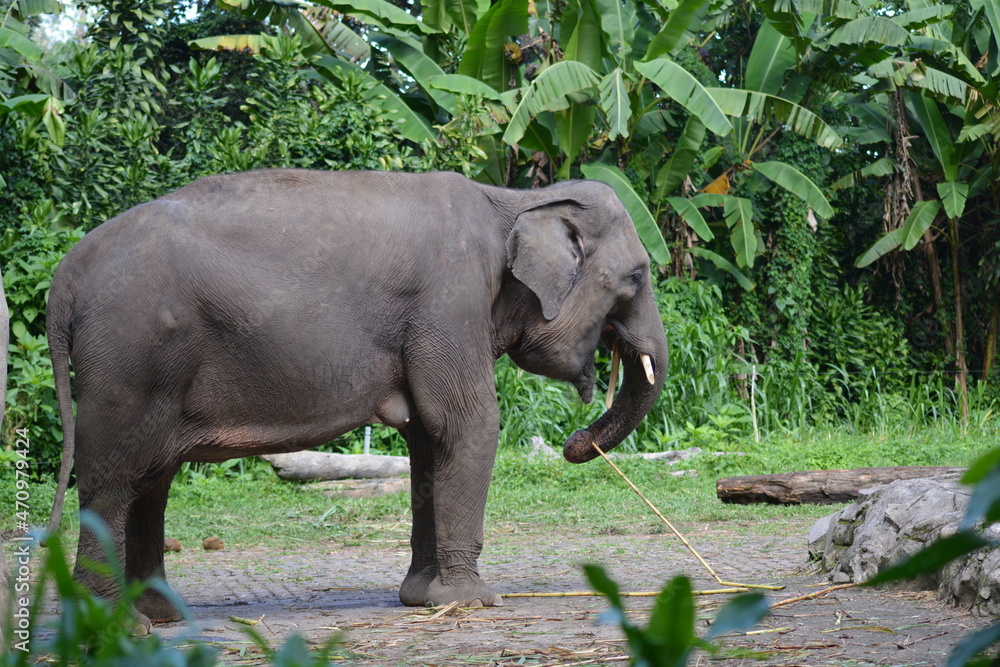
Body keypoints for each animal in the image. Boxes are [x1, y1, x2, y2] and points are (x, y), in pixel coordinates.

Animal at [45, 169, 668, 633]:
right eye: (636, 277)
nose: (574, 441)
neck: (514, 199)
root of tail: (64, 279)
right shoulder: (449, 300)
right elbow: (468, 423)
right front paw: (471, 601)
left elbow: (426, 438)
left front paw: (420, 596)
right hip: (130, 356)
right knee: (116, 478)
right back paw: (121, 626)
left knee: (152, 477)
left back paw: (161, 615)